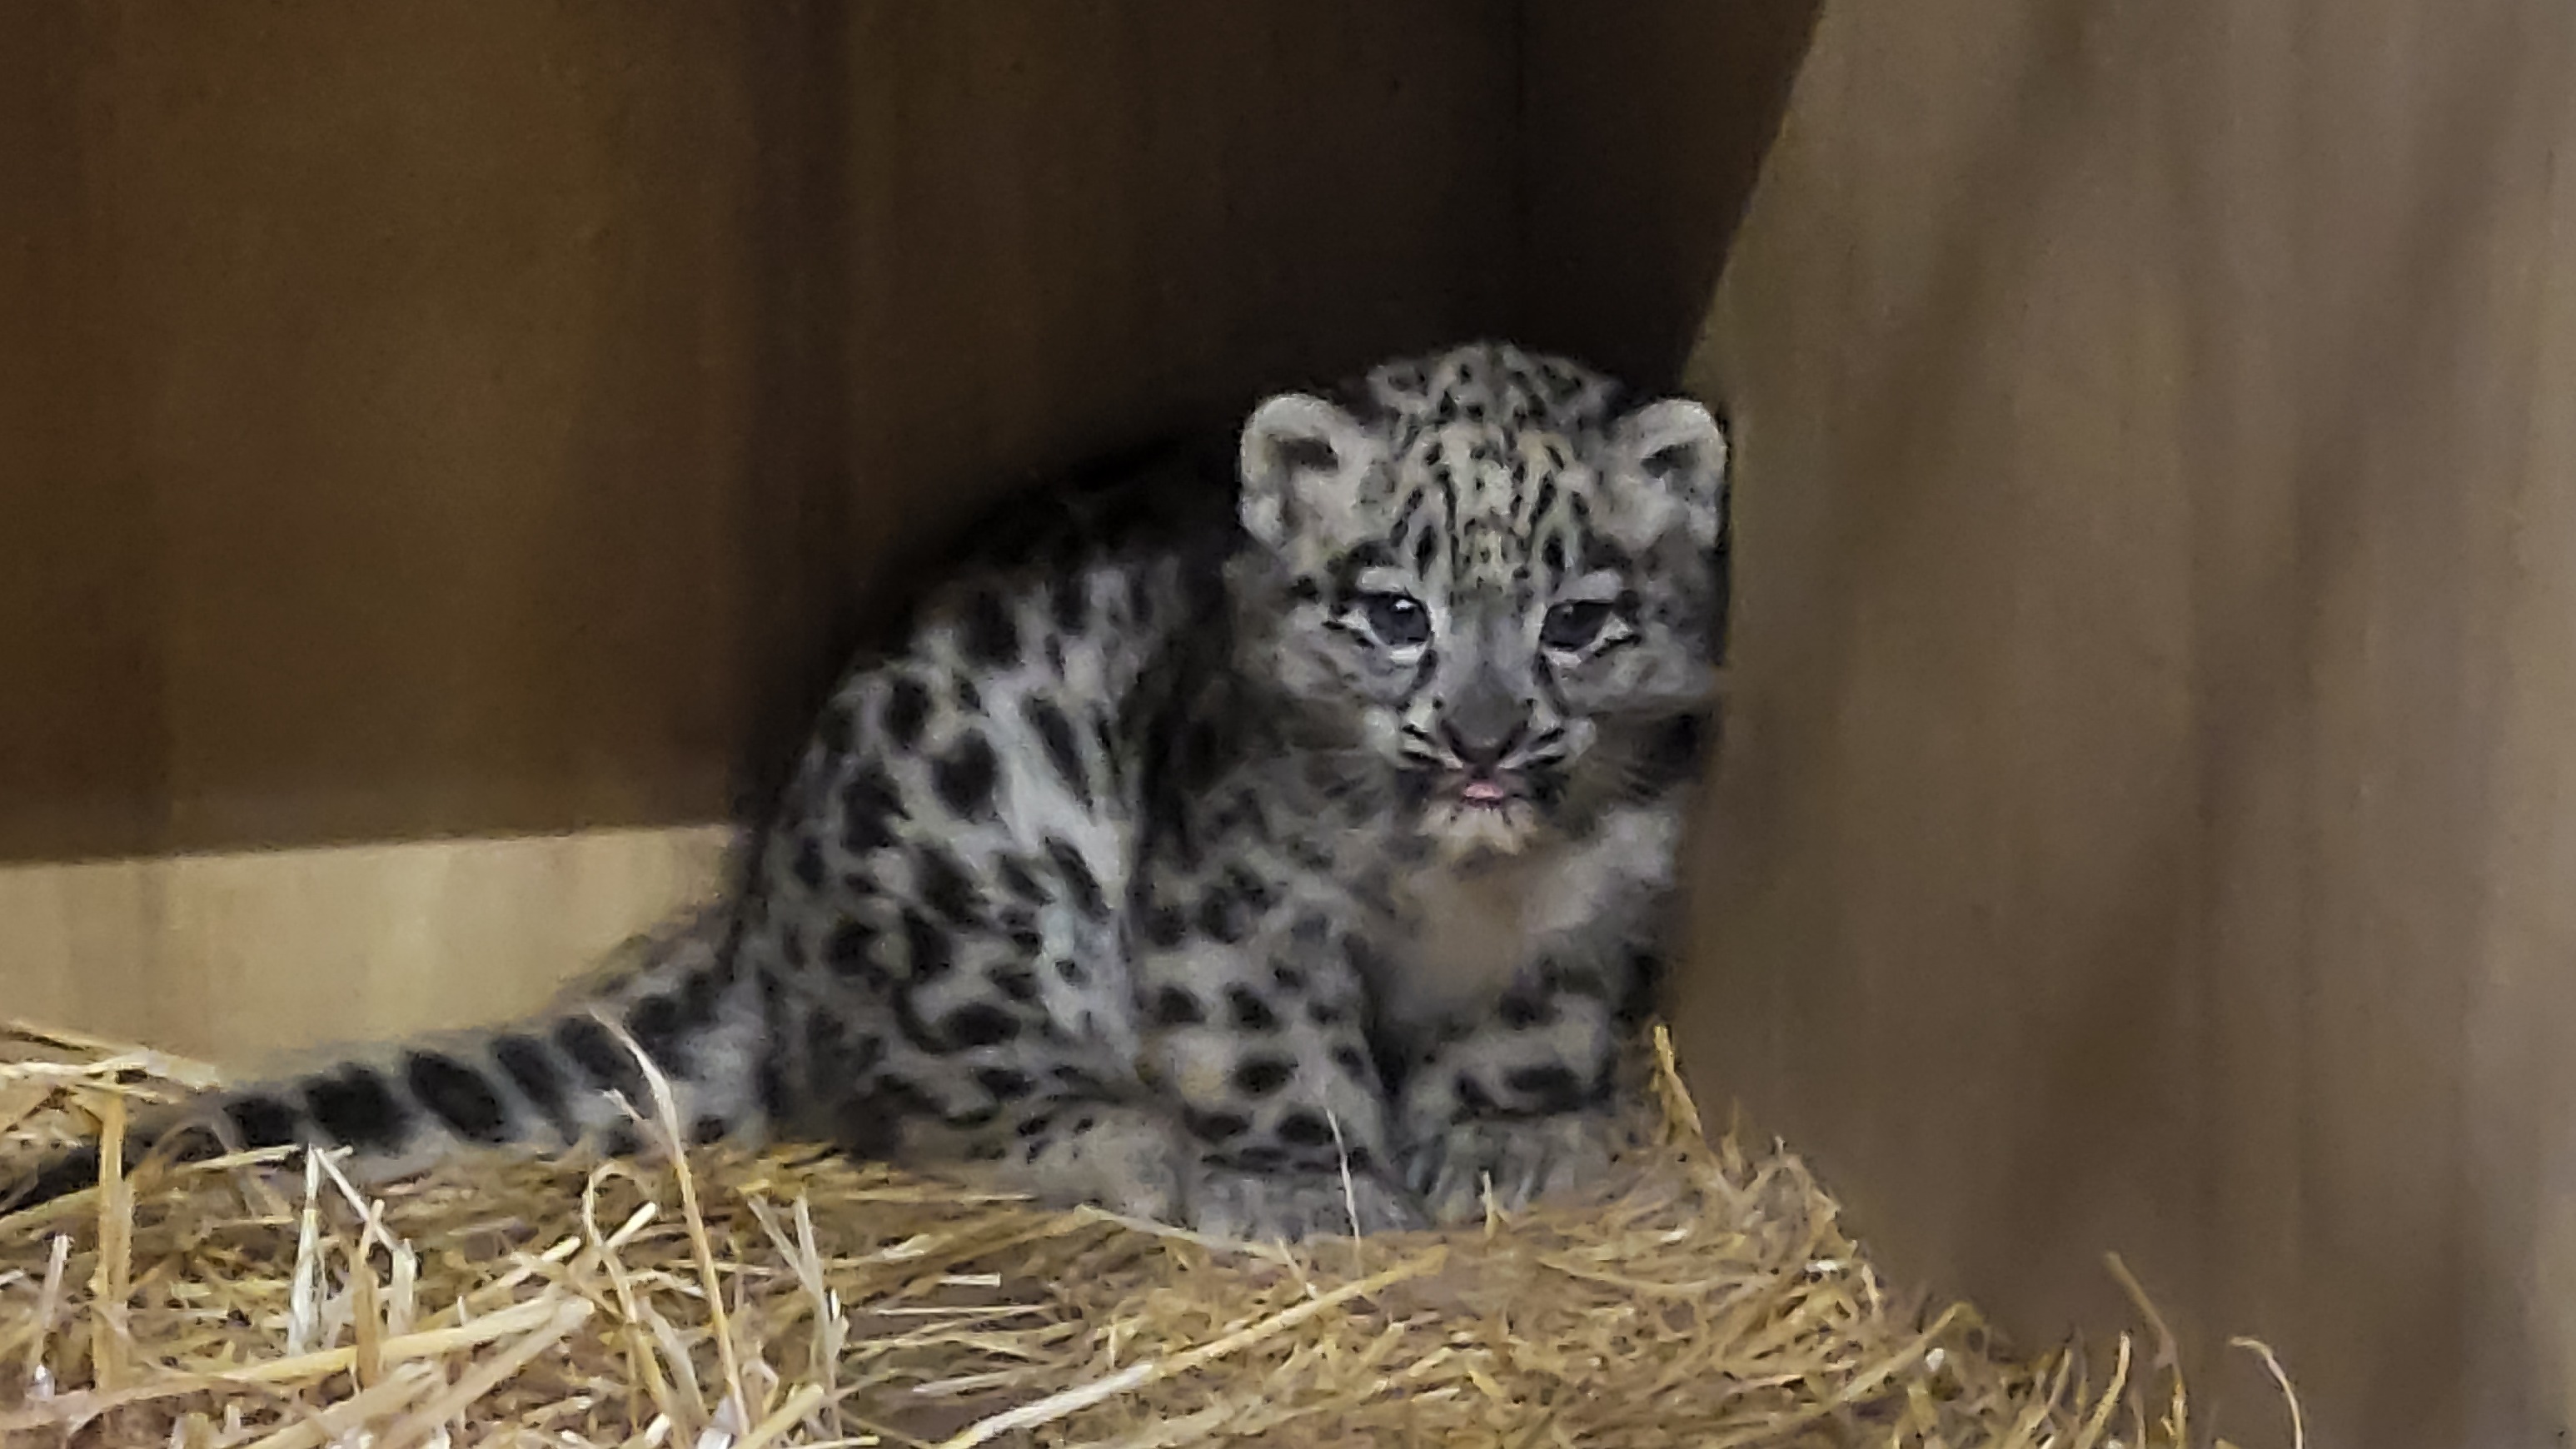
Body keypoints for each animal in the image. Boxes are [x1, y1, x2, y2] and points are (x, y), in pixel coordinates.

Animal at [4, 340, 1731, 1243]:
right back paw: (1128, 1143)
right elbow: (1270, 1052)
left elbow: (1524, 1038)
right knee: (926, 1101)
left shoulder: (1595, 905)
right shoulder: (1236, 905)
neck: (1460, 891)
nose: (1485, 745)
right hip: (991, 912)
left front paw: (1506, 1144)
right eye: (1394, 611)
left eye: (1576, 618)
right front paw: (1309, 1187)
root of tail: (766, 936)